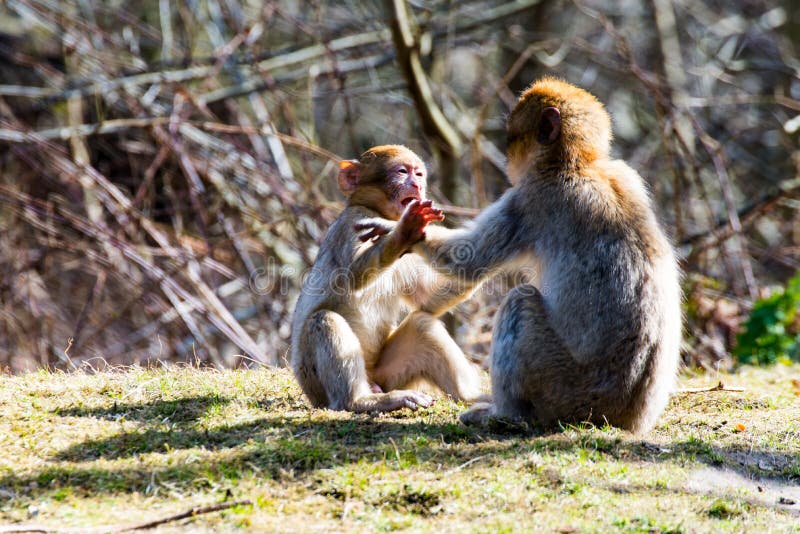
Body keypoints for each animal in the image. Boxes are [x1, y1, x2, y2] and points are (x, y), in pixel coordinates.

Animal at [290, 145, 484, 413]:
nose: (416, 184)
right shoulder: (352, 223)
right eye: (402, 171)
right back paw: (359, 401)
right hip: (314, 382)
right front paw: (403, 230)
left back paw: (472, 398)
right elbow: (353, 277)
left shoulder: (408, 257)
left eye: (419, 173)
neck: (376, 210)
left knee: (421, 324)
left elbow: (426, 302)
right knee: (324, 320)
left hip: (388, 376)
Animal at [357, 79, 682, 434]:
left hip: (565, 388)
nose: (507, 156)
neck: (577, 164)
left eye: (512, 136)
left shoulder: (528, 199)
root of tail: (624, 415)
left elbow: (469, 260)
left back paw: (504, 413)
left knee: (520, 302)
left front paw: (399, 228)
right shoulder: (626, 174)